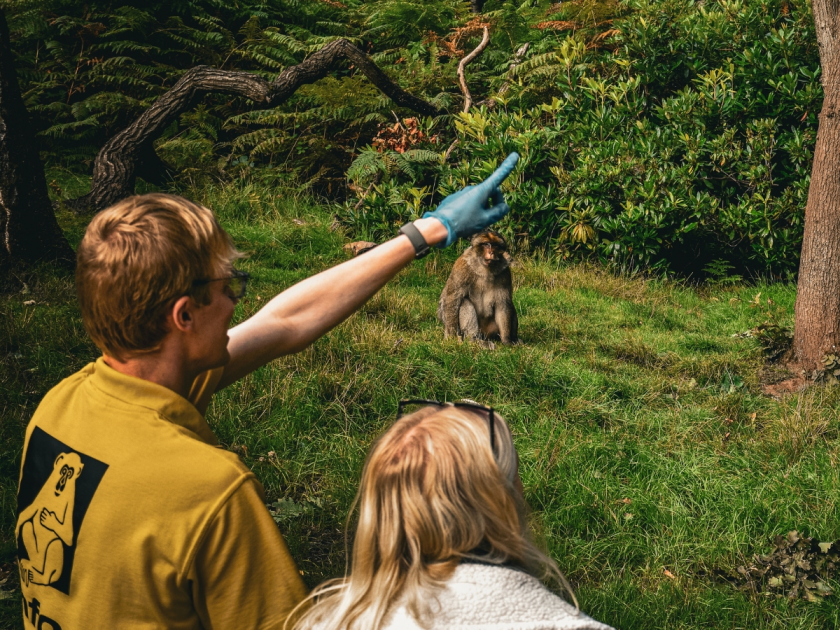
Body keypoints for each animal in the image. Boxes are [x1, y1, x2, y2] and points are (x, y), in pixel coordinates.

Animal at [17, 452, 84, 587]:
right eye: (64, 470)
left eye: (70, 473)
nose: (62, 482)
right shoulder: (44, 491)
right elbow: (31, 510)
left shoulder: (70, 499)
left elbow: (69, 535)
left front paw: (50, 520)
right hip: (37, 554)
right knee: (27, 526)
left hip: (54, 570)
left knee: (56, 543)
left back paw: (42, 578)